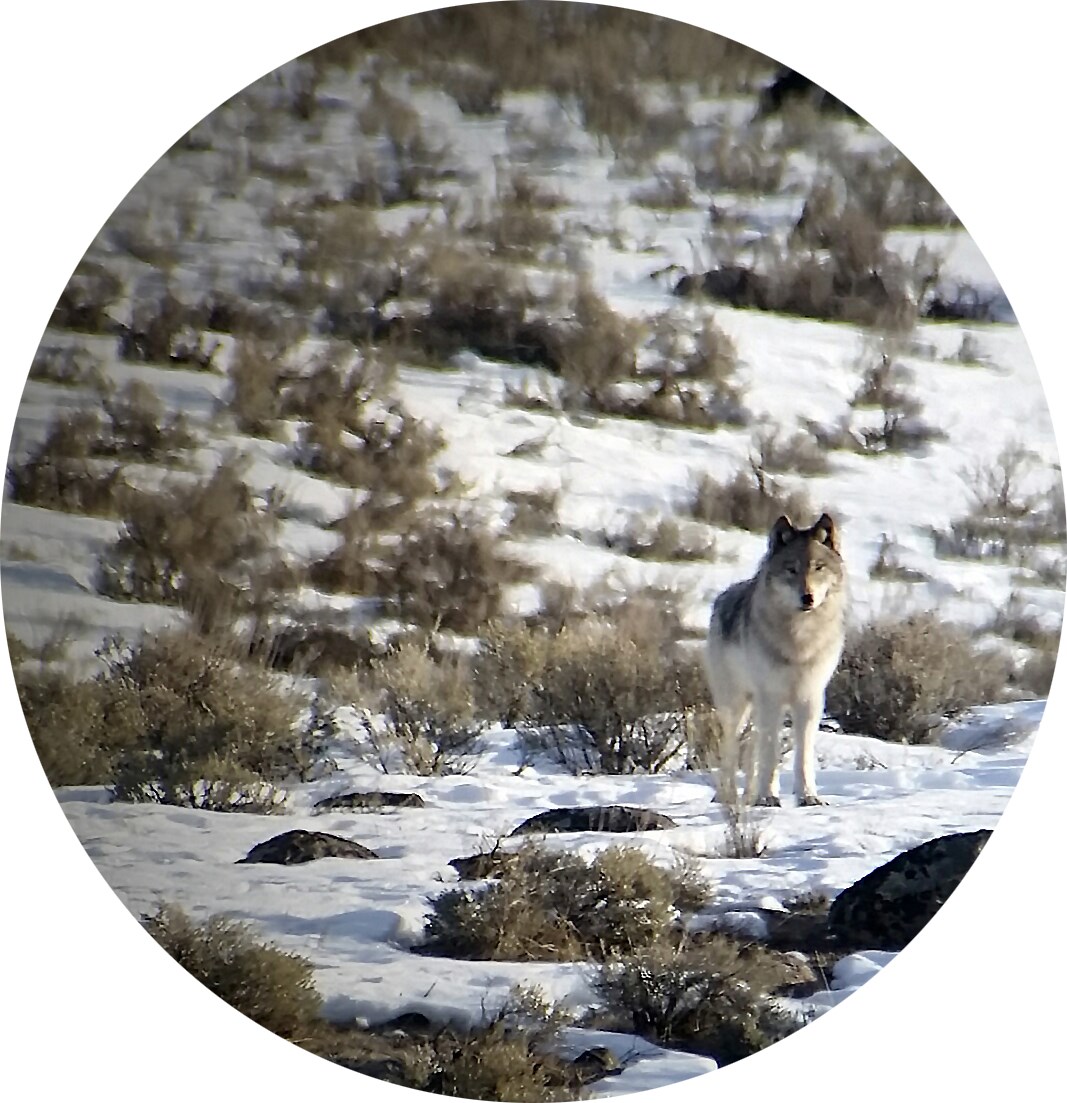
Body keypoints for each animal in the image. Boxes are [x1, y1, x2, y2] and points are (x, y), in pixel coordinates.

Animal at [700, 513, 847, 807]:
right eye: (791, 569)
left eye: (818, 567)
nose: (807, 597)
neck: (800, 639)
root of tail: (722, 596)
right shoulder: (772, 697)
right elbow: (770, 752)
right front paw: (767, 797)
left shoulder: (810, 699)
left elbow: (803, 755)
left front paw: (808, 796)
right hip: (737, 707)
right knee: (732, 750)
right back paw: (729, 796)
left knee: (752, 748)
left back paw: (748, 795)